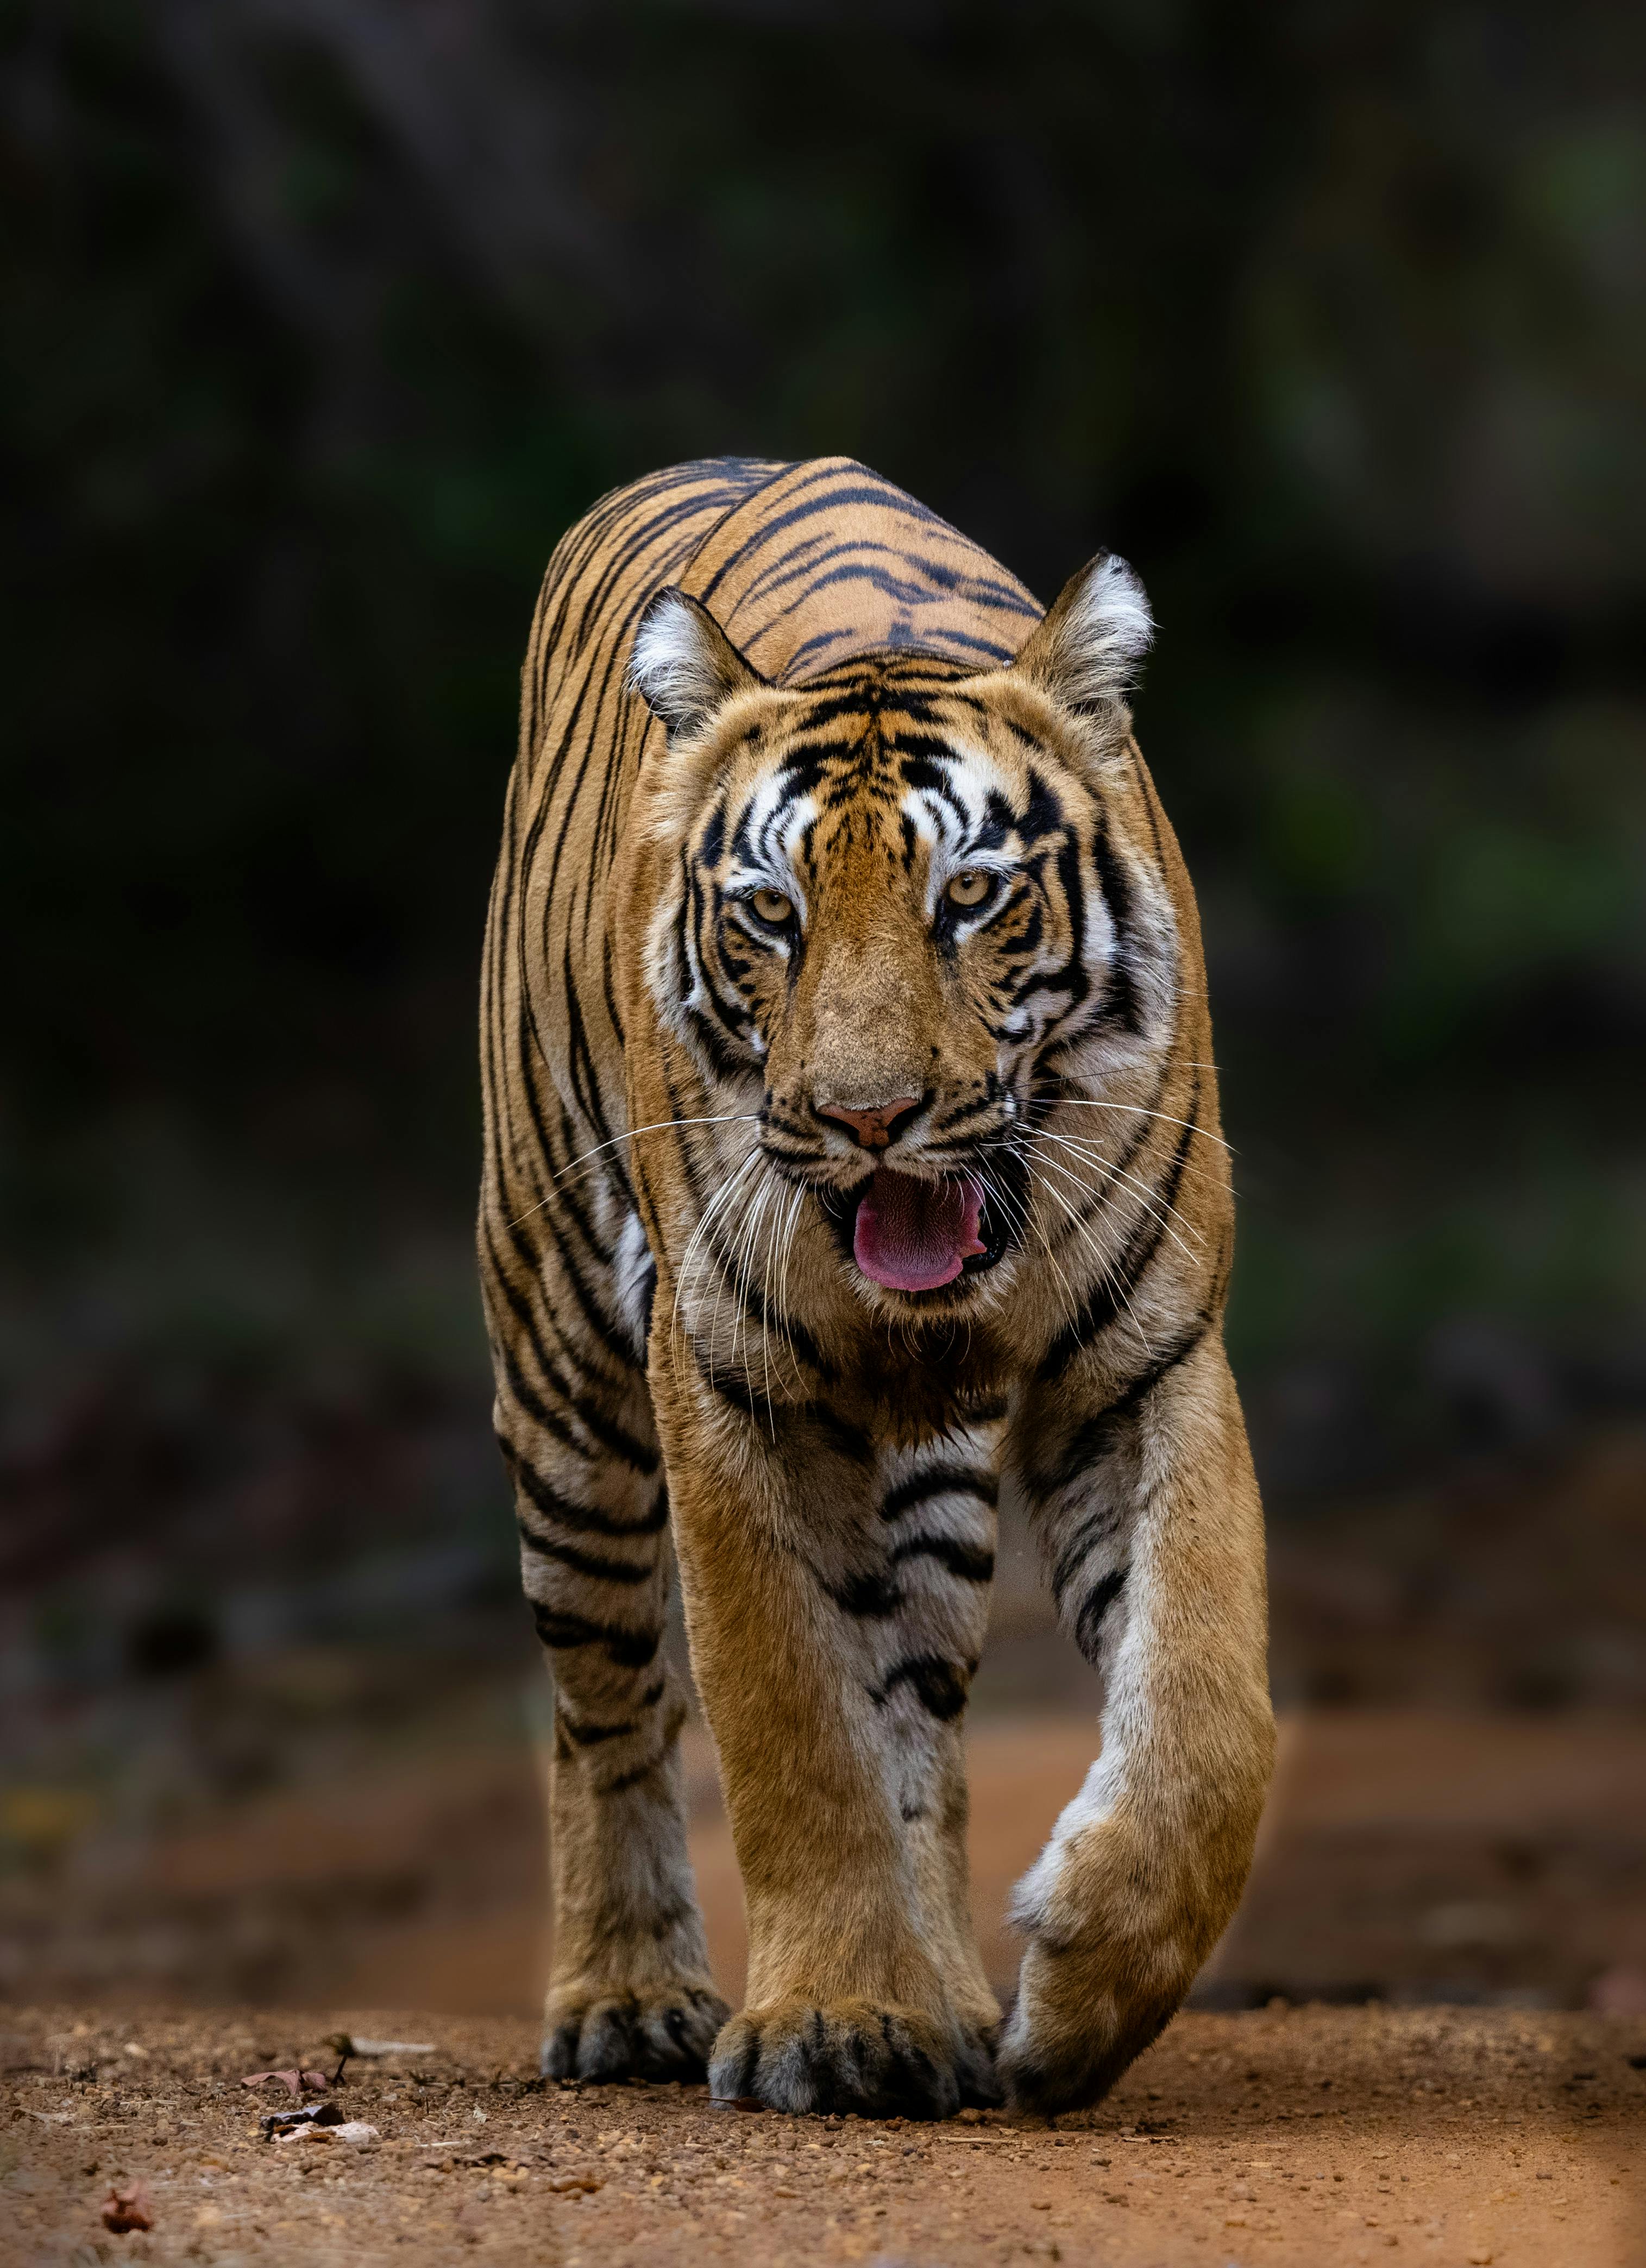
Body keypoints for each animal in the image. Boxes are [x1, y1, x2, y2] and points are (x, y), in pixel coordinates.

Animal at [478, 454, 1274, 2118]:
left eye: (970, 896)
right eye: (769, 912)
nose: (863, 1117)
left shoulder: (1147, 1362)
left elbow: (1202, 1711)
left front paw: (1079, 1993)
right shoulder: (722, 1382)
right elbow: (787, 1722)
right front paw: (831, 2019)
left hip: (925, 1487)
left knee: (915, 1708)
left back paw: (951, 2010)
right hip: (562, 1367)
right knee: (601, 1705)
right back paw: (628, 1999)